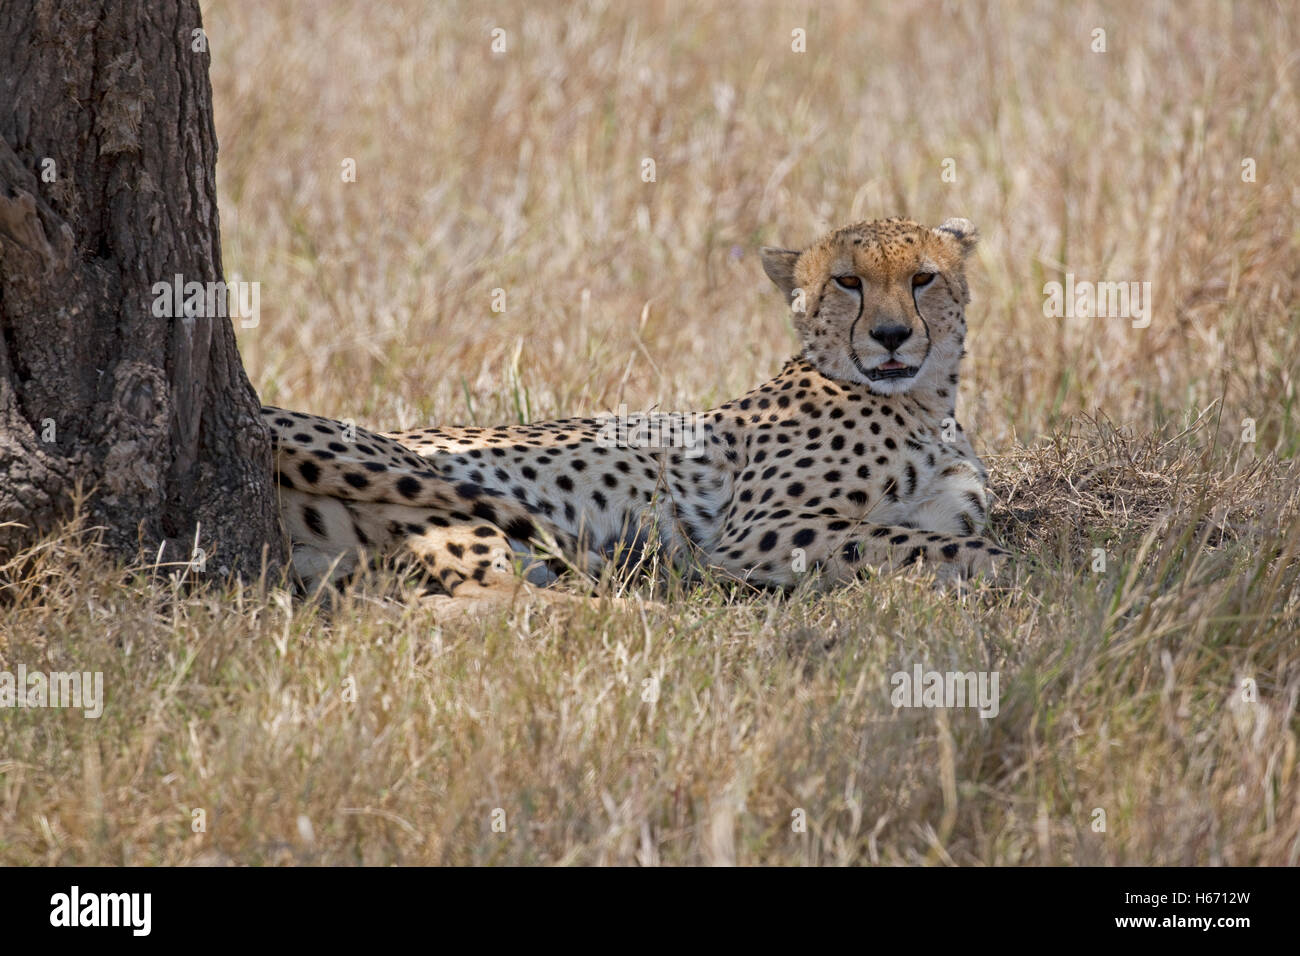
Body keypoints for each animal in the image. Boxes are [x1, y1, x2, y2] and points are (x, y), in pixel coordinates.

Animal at [262, 216, 1007, 610]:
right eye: (847, 282)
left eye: (923, 278)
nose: (891, 336)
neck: (923, 403)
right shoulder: (759, 534)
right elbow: (949, 546)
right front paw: (1006, 571)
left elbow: (941, 536)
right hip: (425, 480)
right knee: (504, 597)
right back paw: (647, 605)